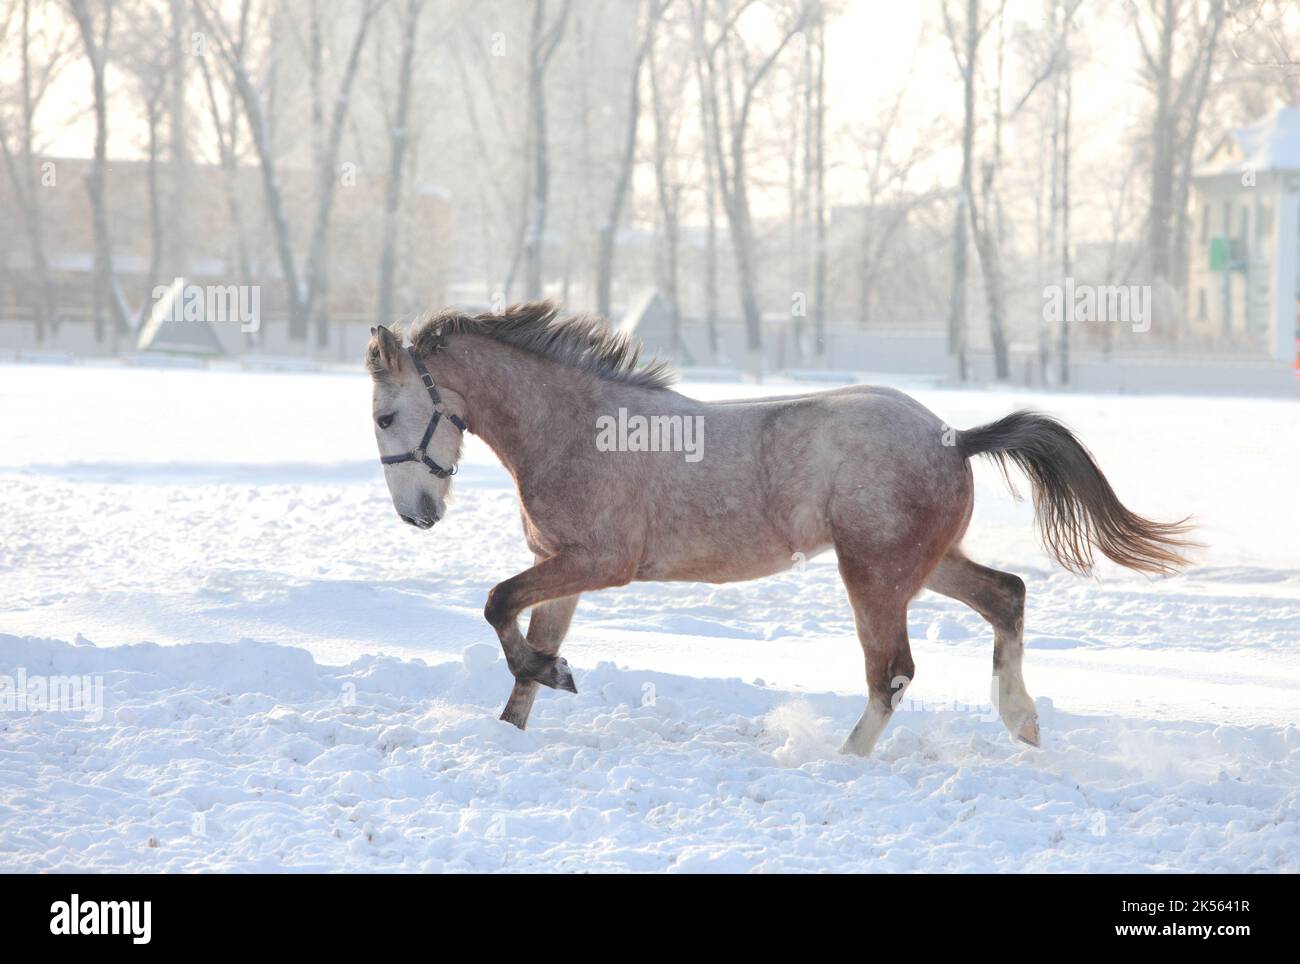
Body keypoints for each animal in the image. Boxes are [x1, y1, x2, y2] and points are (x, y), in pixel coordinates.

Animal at [366, 302, 1193, 756]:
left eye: (384, 415)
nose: (416, 515)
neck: (576, 426)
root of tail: (955, 437)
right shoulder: (562, 568)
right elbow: (522, 655)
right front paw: (522, 712)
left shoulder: (598, 561)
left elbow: (498, 606)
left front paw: (559, 675)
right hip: (925, 565)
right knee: (1007, 596)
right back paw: (1022, 723)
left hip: (874, 574)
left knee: (893, 672)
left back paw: (846, 757)